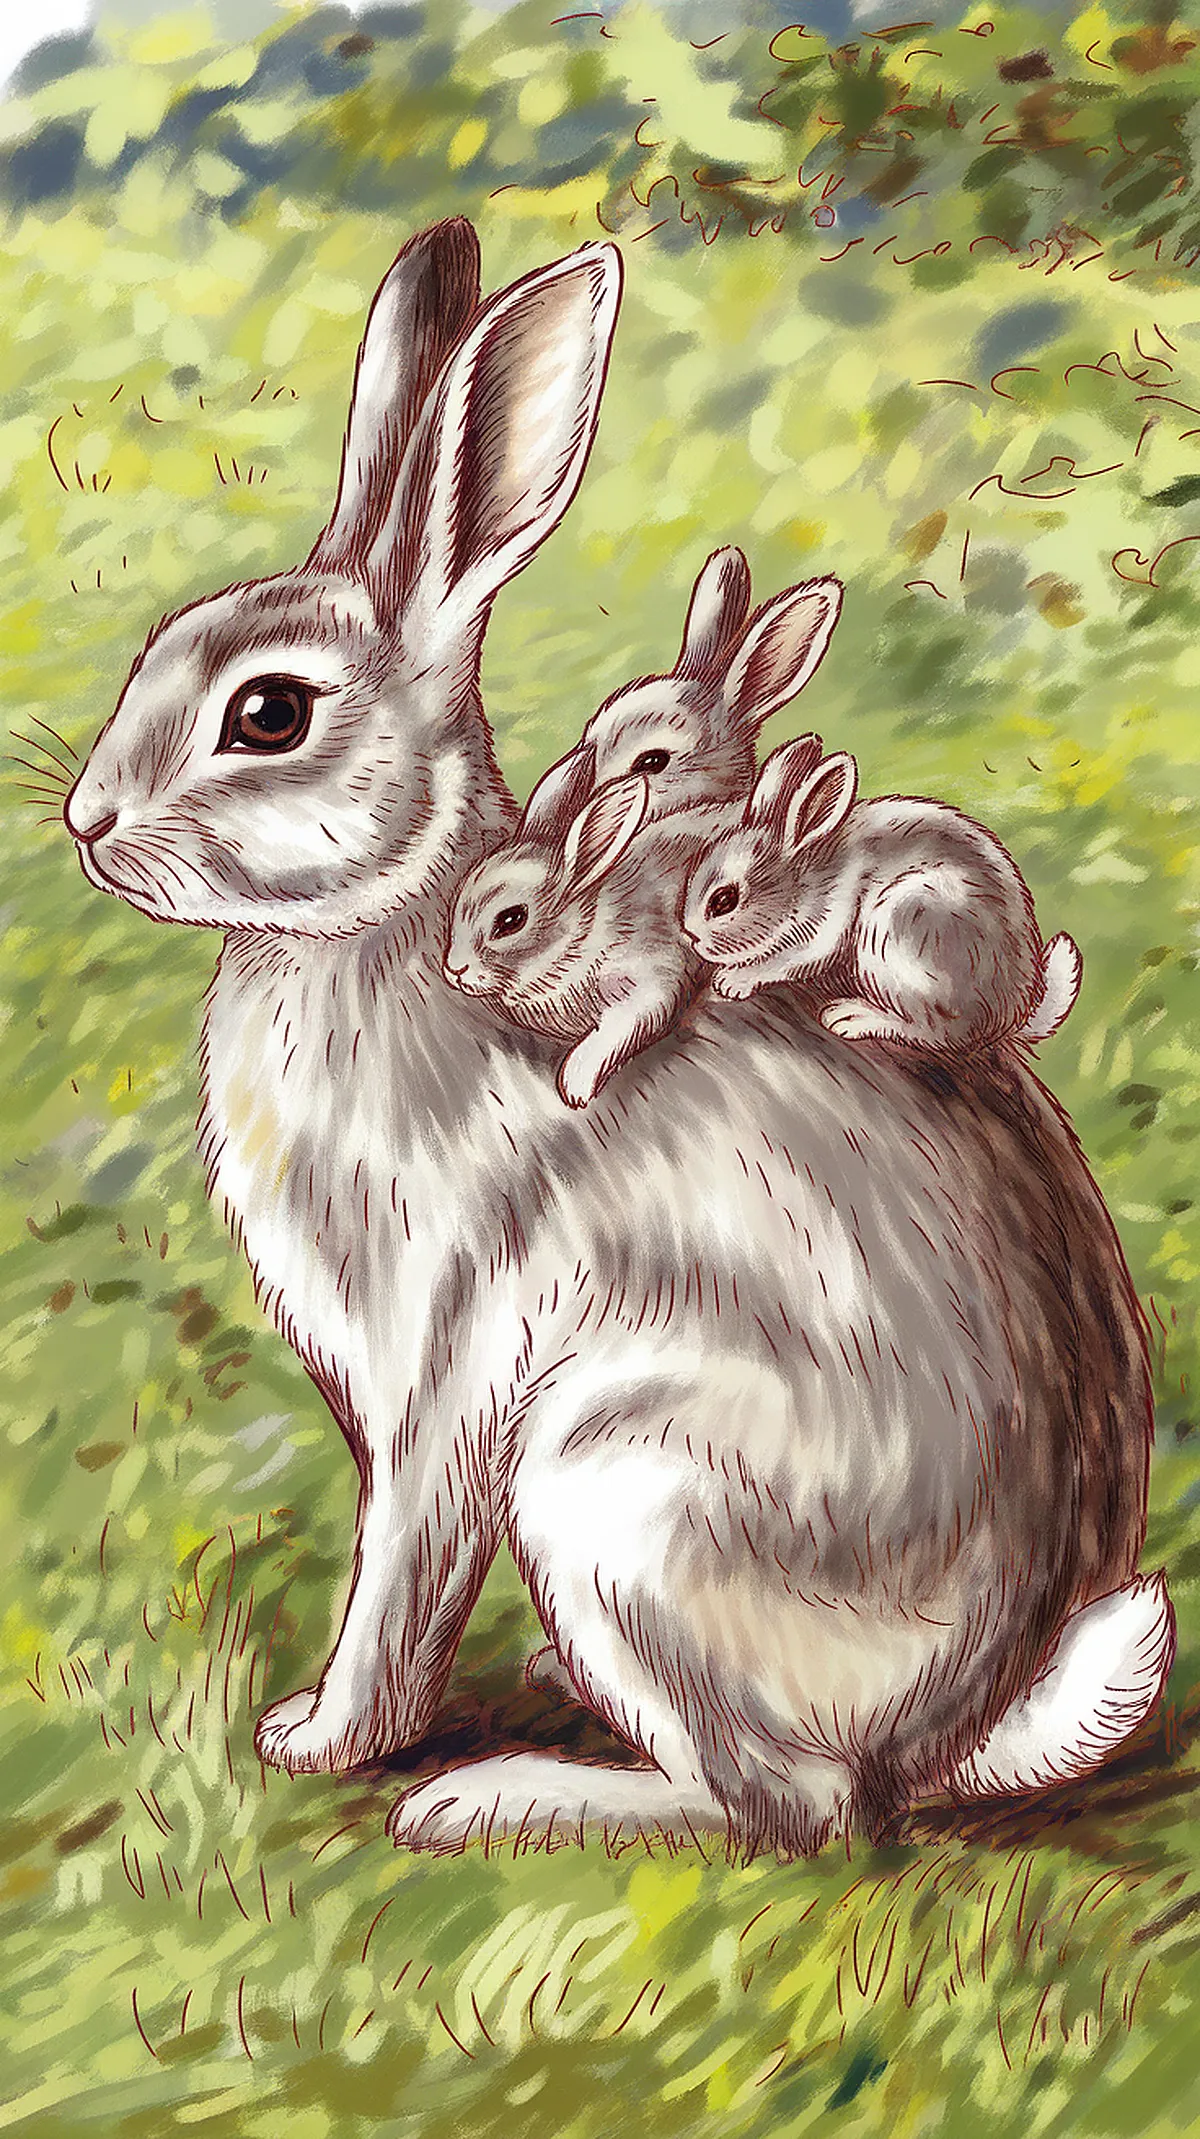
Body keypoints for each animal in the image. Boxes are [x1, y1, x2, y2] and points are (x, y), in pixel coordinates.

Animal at [445, 774, 728, 1107]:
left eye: (511, 920)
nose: (454, 969)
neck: (583, 935)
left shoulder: (648, 976)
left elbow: (622, 1026)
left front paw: (575, 1086)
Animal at [684, 736, 1083, 1058]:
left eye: (724, 900)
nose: (690, 937)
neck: (803, 877)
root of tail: (1009, 1014)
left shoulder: (823, 930)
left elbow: (785, 962)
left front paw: (734, 981)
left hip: (900, 928)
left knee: (935, 1031)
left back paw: (852, 1017)